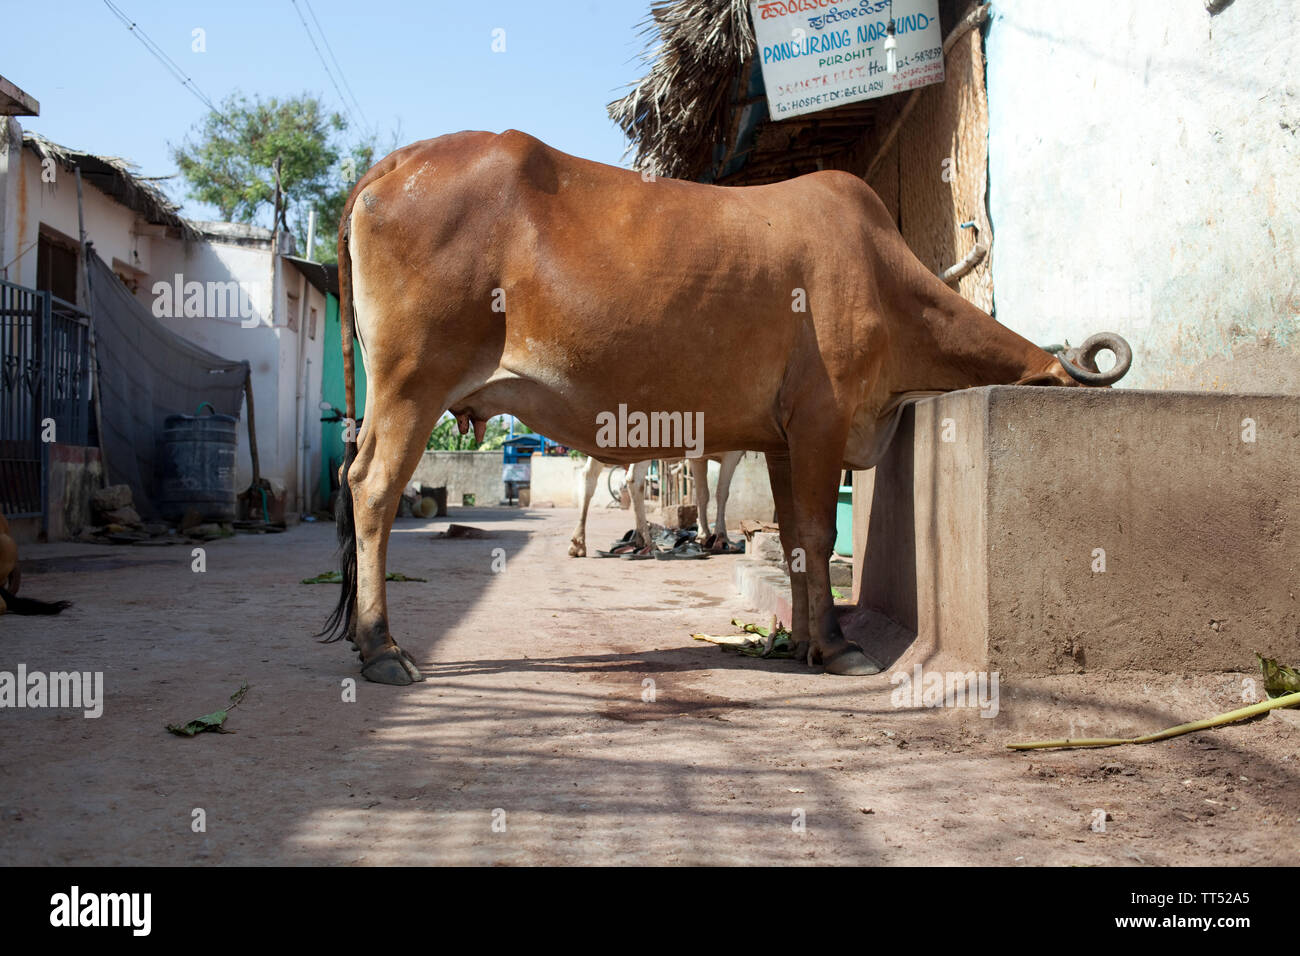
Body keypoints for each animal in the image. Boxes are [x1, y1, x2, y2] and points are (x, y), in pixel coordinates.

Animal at [568, 451, 745, 557]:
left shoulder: (699, 457)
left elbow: (703, 494)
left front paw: (704, 535)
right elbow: (722, 493)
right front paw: (721, 537)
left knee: (588, 475)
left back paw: (578, 542)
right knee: (634, 479)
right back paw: (647, 543)